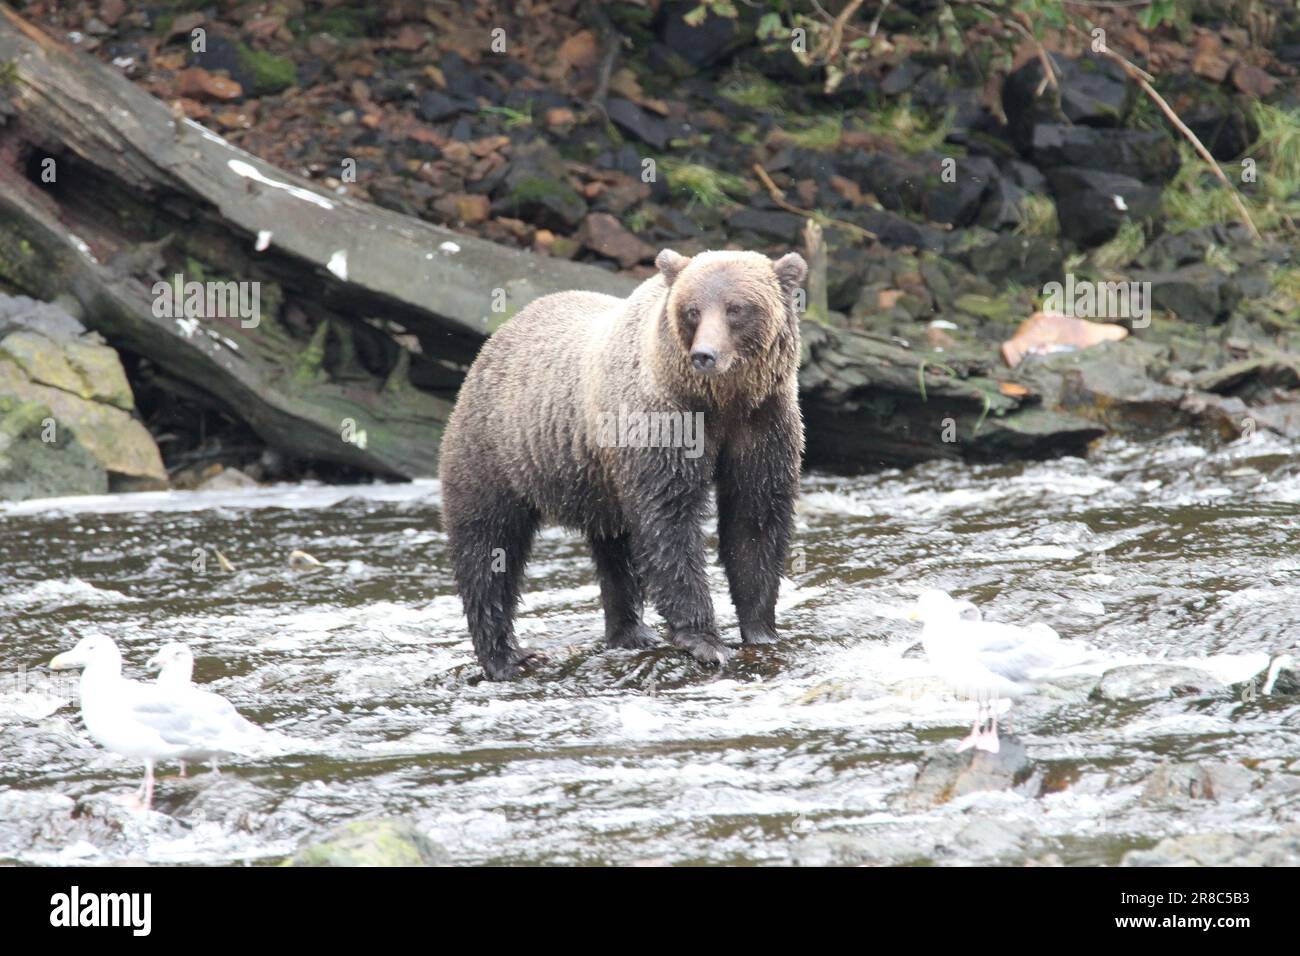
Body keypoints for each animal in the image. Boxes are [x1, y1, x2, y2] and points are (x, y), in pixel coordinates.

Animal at [438, 248, 807, 679]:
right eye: (693, 310)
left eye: (736, 308)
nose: (705, 355)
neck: (720, 402)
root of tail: (495, 340)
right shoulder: (663, 422)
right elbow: (670, 522)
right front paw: (707, 642)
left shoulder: (763, 422)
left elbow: (755, 516)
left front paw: (761, 629)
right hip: (495, 451)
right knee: (489, 546)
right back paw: (507, 656)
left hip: (597, 480)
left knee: (614, 552)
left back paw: (630, 631)